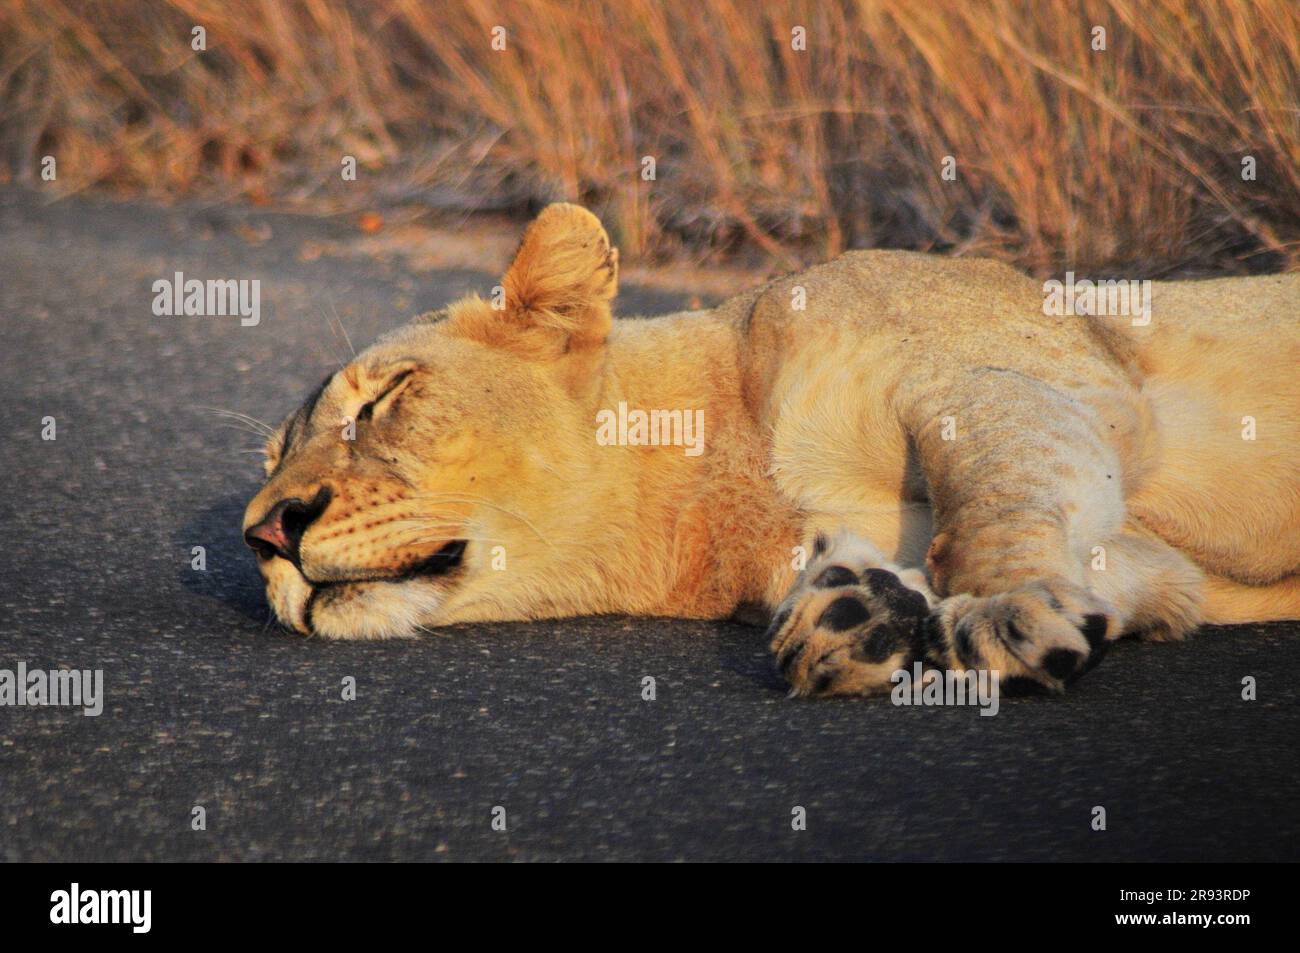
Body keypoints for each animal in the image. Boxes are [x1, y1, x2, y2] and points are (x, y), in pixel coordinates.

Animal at [242, 204, 1300, 696]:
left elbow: (990, 503)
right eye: (270, 462)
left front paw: (1007, 607)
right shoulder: (1158, 568)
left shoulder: (1043, 379)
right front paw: (854, 612)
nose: (264, 534)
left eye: (384, 396)